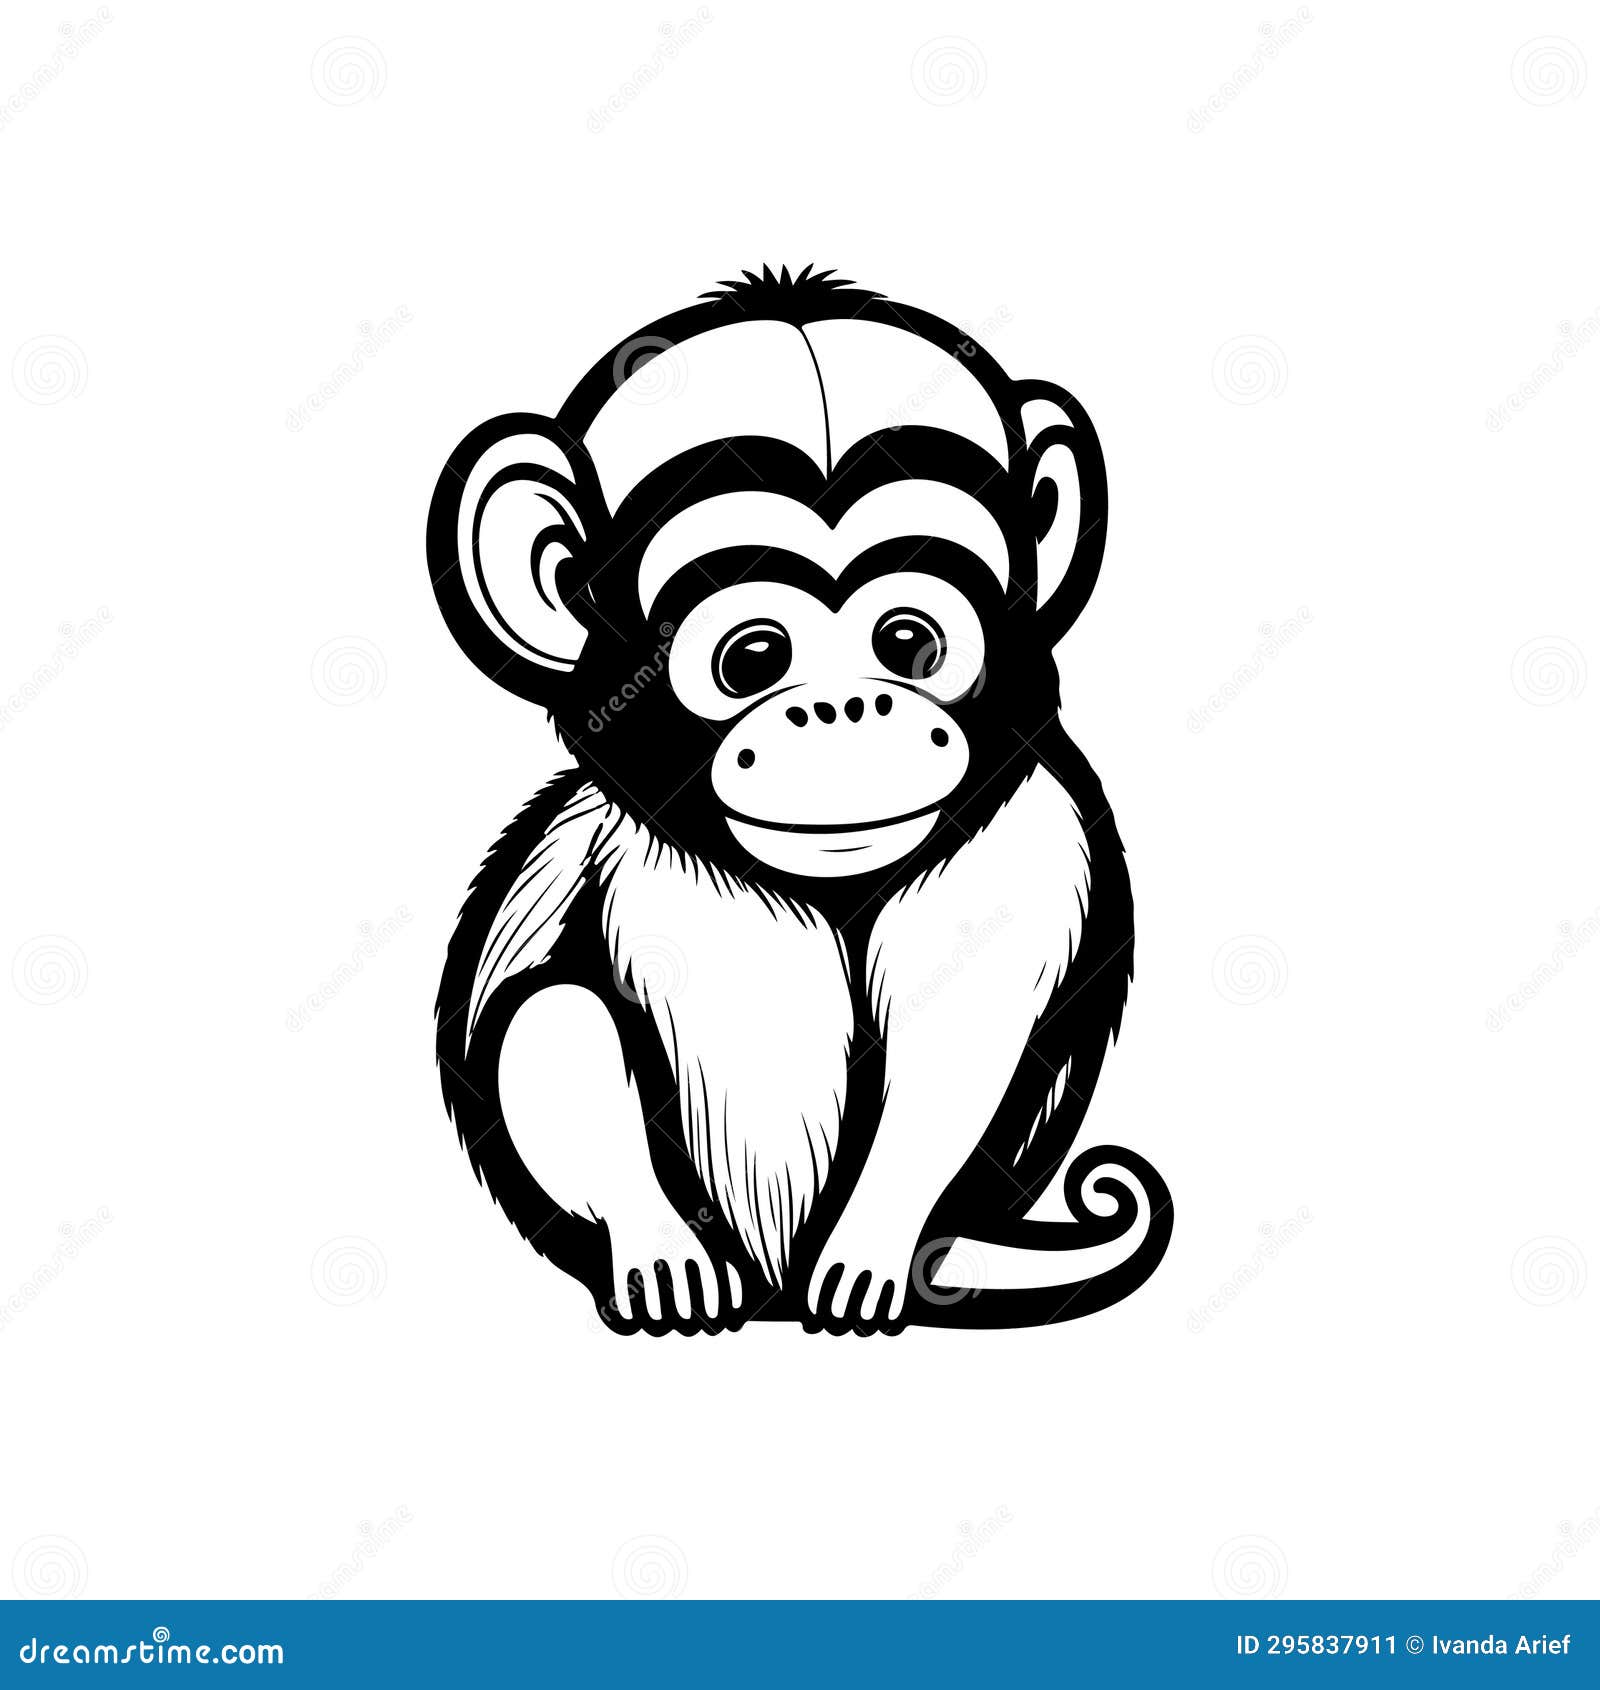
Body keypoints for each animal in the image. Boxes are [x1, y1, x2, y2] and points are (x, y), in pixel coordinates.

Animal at [428, 265, 1171, 1335]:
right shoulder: (584, 830)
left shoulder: (1036, 824)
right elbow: (523, 1018)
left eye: (910, 643)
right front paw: (651, 1244)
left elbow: (966, 1041)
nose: (842, 709)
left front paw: (871, 1242)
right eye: (751, 658)